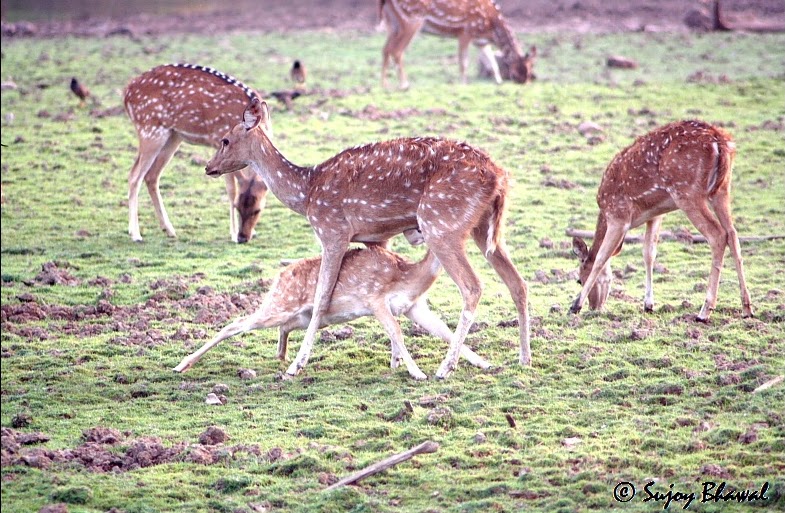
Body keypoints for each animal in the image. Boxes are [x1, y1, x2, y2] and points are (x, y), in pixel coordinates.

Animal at [124, 63, 269, 243]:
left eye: (258, 210)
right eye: (237, 206)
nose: (244, 237)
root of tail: (126, 92)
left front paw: (252, 232)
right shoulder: (220, 140)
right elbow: (231, 189)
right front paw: (233, 234)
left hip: (172, 136)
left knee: (151, 175)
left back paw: (169, 229)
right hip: (150, 129)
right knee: (135, 175)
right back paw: (136, 234)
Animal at [173, 230, 491, 379]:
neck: (407, 276)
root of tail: (280, 276)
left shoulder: (414, 307)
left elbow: (443, 331)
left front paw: (483, 363)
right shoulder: (375, 298)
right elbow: (397, 333)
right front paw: (417, 372)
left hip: (306, 315)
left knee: (284, 327)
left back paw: (283, 356)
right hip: (278, 305)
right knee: (235, 323)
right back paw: (182, 365)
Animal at [205, 97, 531, 379]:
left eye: (225, 139)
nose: (208, 167)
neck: (306, 193)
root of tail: (499, 178)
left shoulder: (332, 230)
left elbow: (322, 297)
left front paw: (296, 365)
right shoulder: (375, 238)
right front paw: (396, 360)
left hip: (441, 224)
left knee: (473, 286)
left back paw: (445, 367)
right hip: (485, 230)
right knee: (518, 283)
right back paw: (524, 357)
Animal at [378, 0, 536, 89]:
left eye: (531, 67)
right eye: (525, 67)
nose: (525, 81)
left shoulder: (480, 42)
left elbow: (492, 62)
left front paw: (498, 82)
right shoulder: (465, 31)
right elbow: (464, 61)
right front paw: (463, 83)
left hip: (393, 22)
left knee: (386, 49)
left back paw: (385, 85)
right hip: (412, 19)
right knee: (396, 50)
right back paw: (404, 84)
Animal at [570, 120, 753, 322]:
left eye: (579, 279)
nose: (594, 307)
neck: (603, 209)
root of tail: (720, 142)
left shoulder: (618, 215)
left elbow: (601, 257)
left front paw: (575, 305)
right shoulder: (656, 214)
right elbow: (649, 253)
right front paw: (648, 305)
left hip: (687, 192)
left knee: (718, 234)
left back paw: (704, 311)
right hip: (722, 188)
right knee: (733, 234)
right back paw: (747, 308)